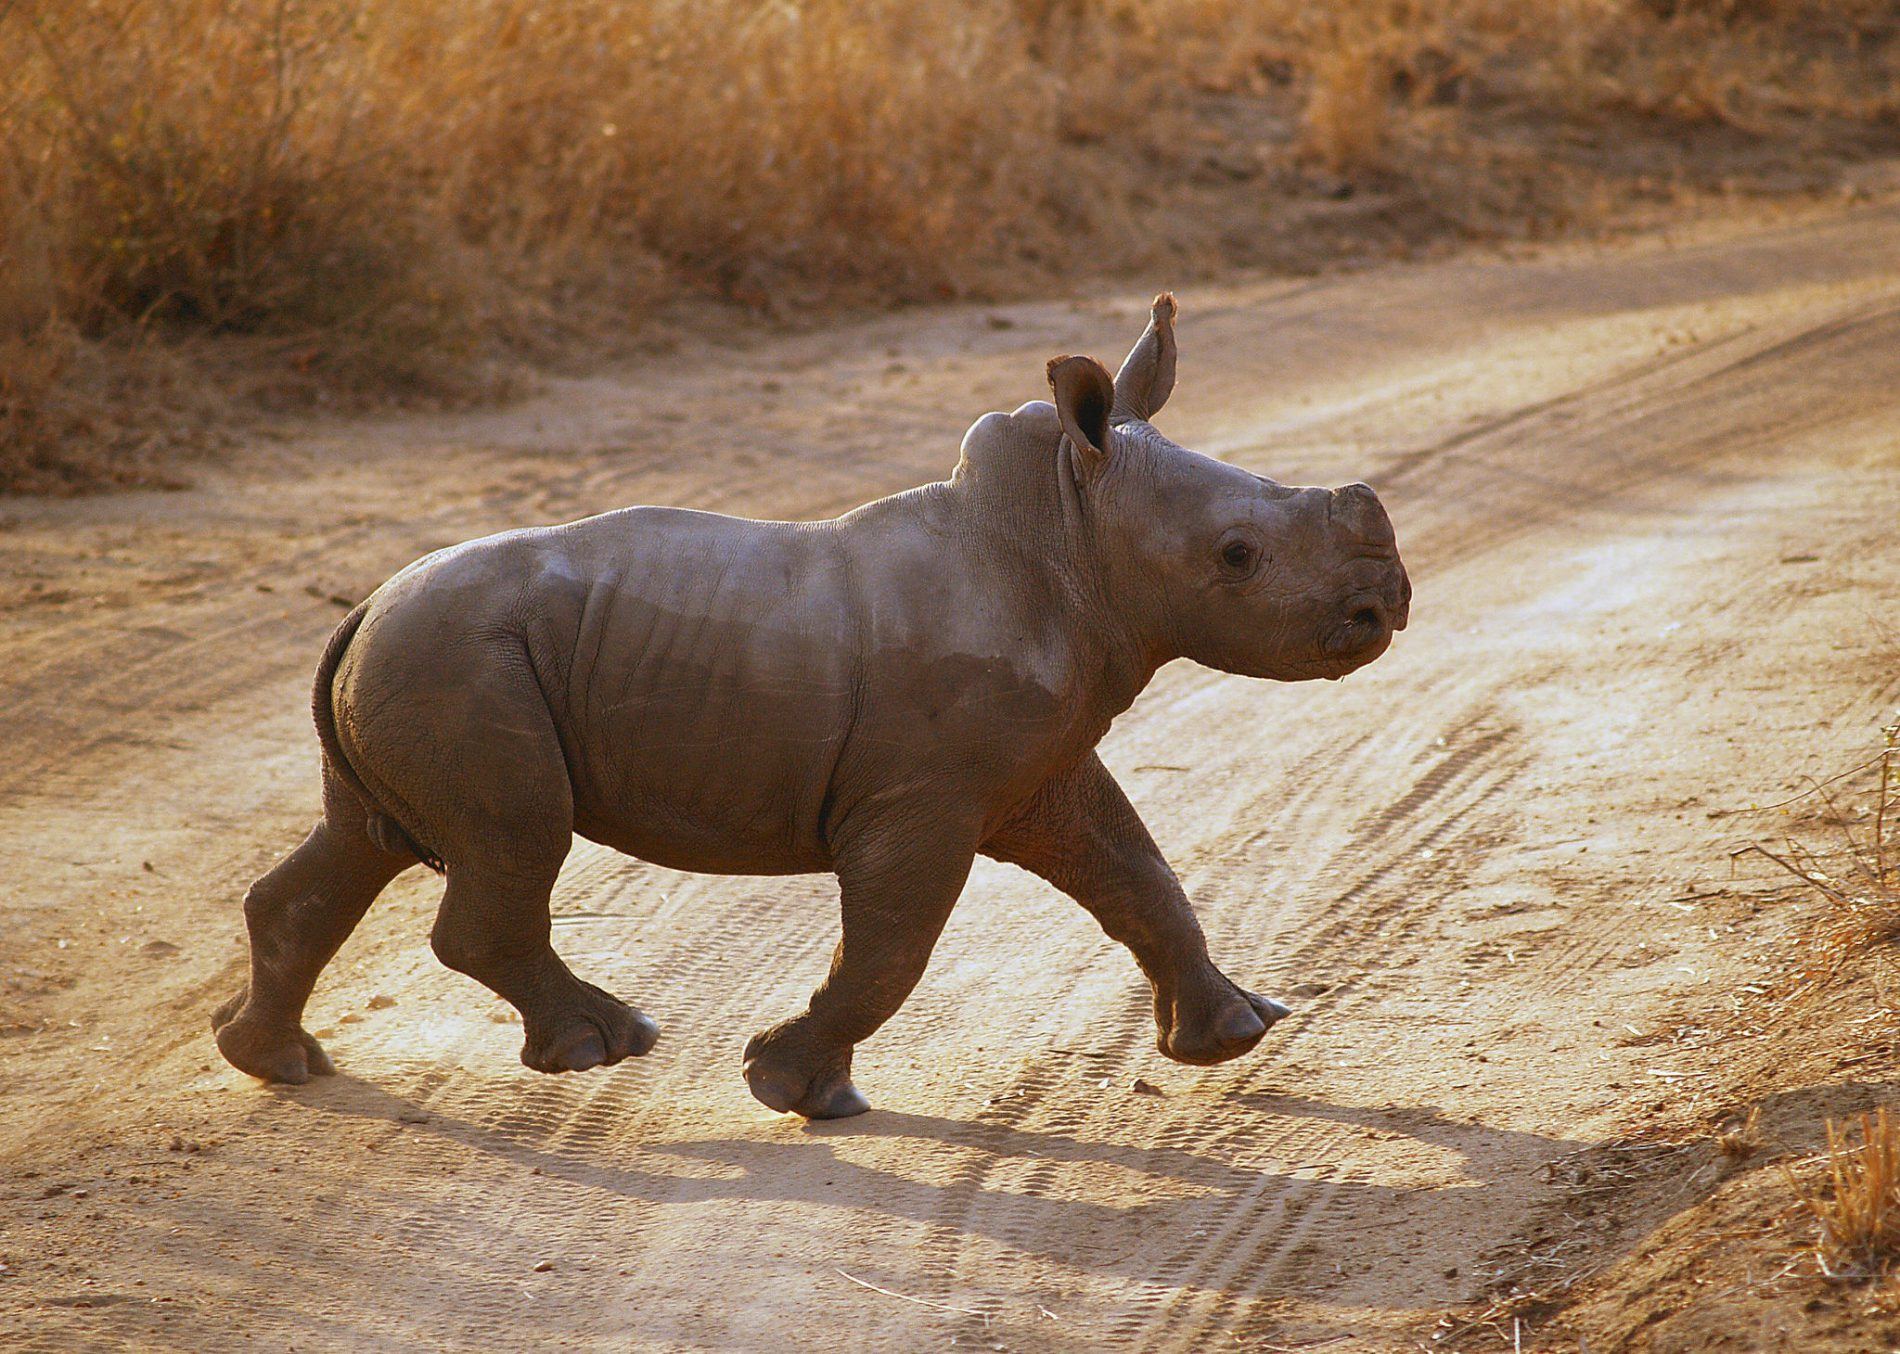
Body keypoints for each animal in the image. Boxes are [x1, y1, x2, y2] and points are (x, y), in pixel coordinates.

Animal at [212, 295, 1411, 1118]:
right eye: (1237, 556)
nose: (1387, 601)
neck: (1073, 530)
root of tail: (366, 604)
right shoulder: (923, 795)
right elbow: (894, 942)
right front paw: (793, 1089)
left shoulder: (1042, 772)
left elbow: (1138, 875)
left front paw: (1235, 1036)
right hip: (459, 661)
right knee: (514, 840)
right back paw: (608, 1044)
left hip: (423, 660)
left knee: (359, 843)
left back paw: (278, 1063)